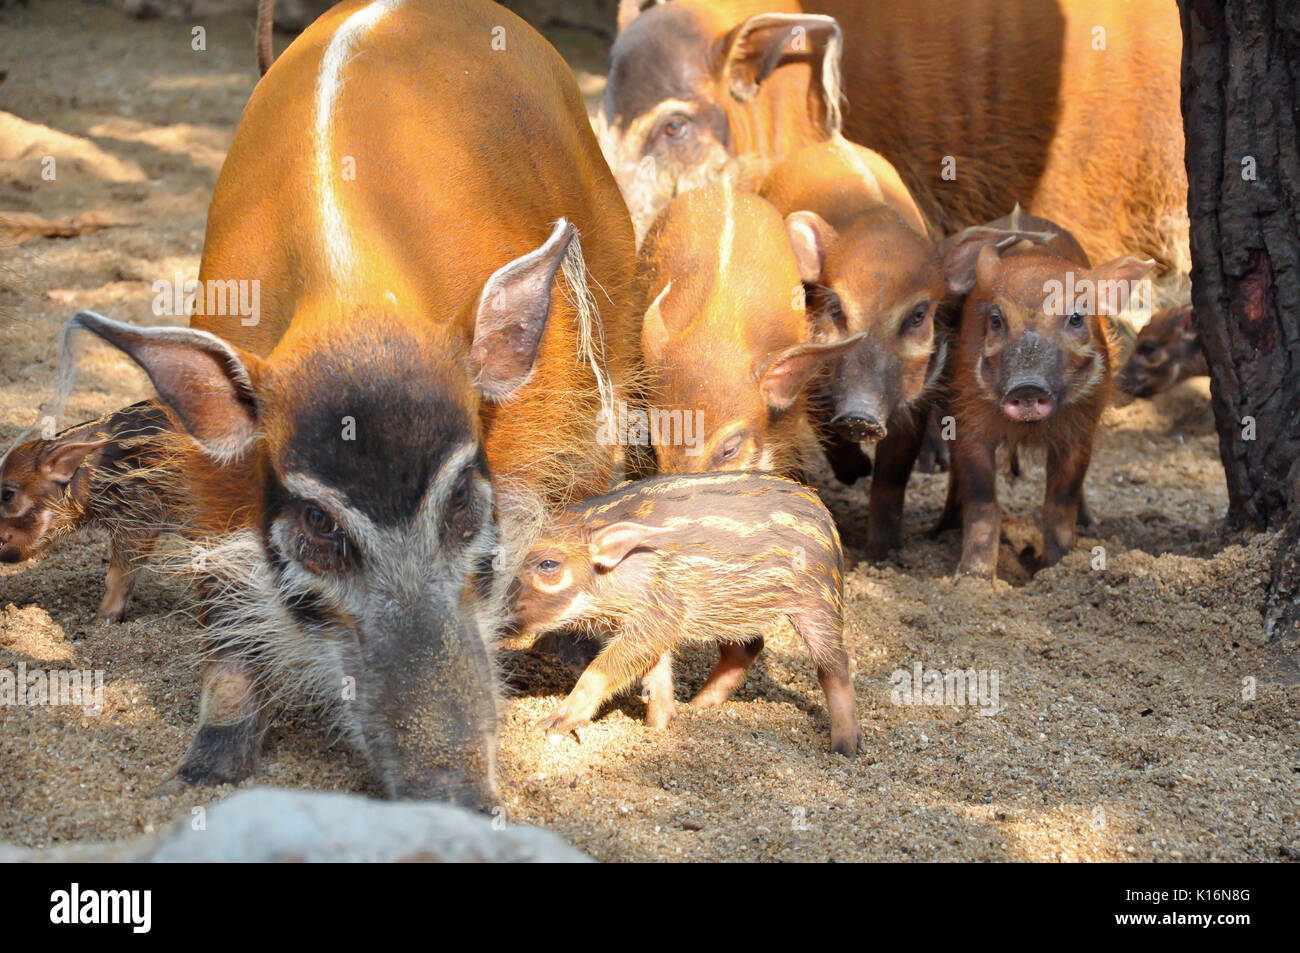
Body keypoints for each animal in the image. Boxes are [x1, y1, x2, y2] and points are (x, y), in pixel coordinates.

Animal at [512, 470, 861, 755]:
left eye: (548, 564)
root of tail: (825, 515)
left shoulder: (659, 616)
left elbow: (599, 671)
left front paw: (548, 726)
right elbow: (657, 675)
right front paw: (657, 727)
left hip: (819, 602)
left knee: (834, 665)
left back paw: (844, 749)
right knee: (749, 647)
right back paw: (697, 706)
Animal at [761, 137, 947, 558]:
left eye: (917, 315)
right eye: (836, 309)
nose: (860, 416)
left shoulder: (916, 391)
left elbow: (894, 472)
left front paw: (884, 553)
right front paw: (858, 471)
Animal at [939, 213, 1155, 580]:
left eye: (1076, 317)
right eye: (996, 320)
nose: (1027, 386)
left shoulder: (1080, 428)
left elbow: (1060, 501)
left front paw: (1058, 567)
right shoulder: (969, 419)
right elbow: (982, 501)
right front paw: (973, 580)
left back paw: (1089, 523)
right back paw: (939, 529)